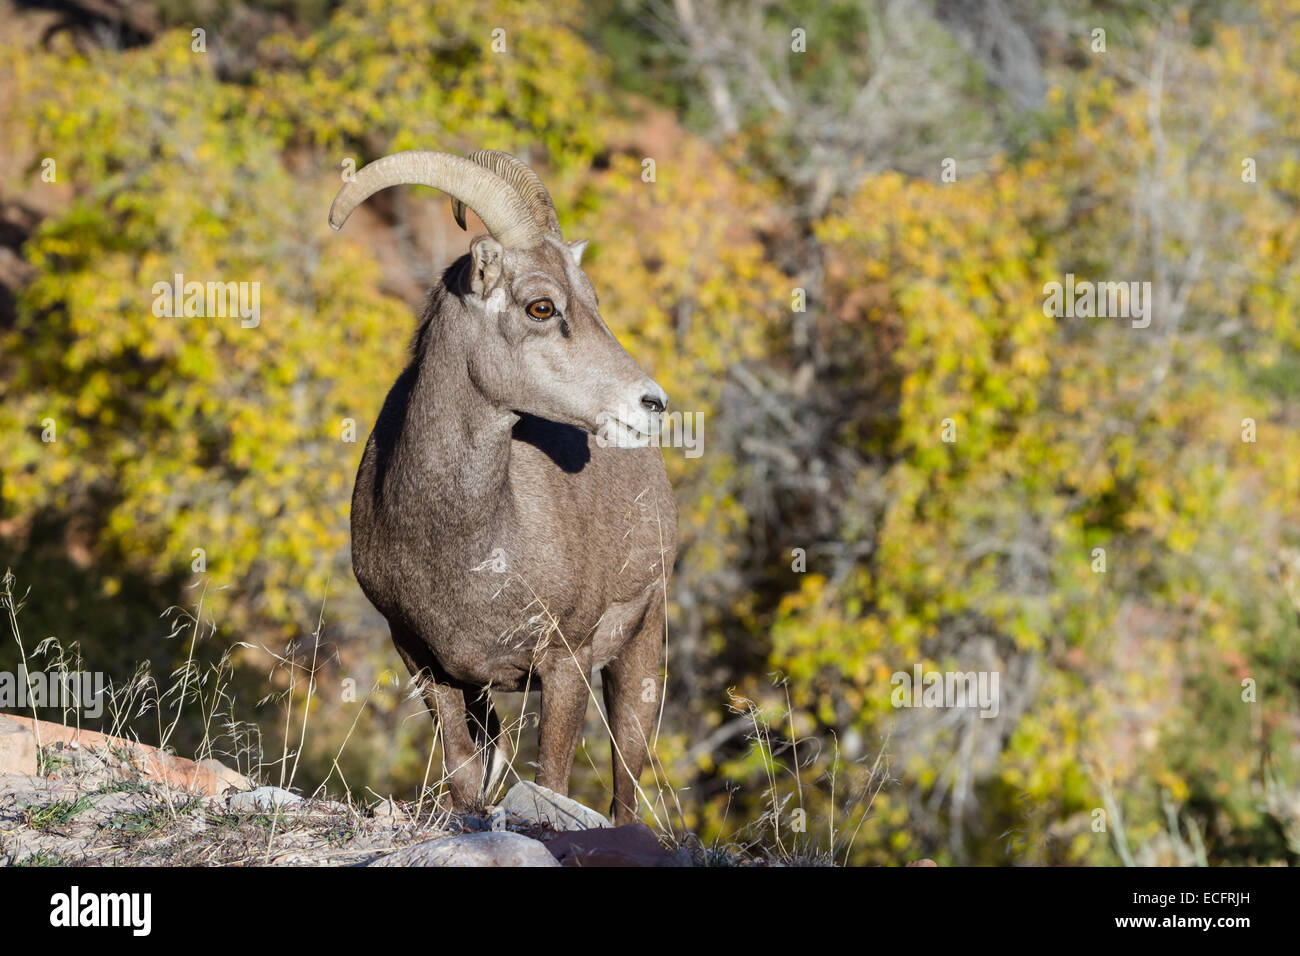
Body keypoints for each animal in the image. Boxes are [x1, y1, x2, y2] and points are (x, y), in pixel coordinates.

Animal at [329, 149, 677, 825]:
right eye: (541, 306)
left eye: (592, 300)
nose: (651, 404)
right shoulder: (427, 664)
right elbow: (466, 777)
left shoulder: (566, 661)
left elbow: (554, 782)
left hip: (641, 651)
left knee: (626, 782)